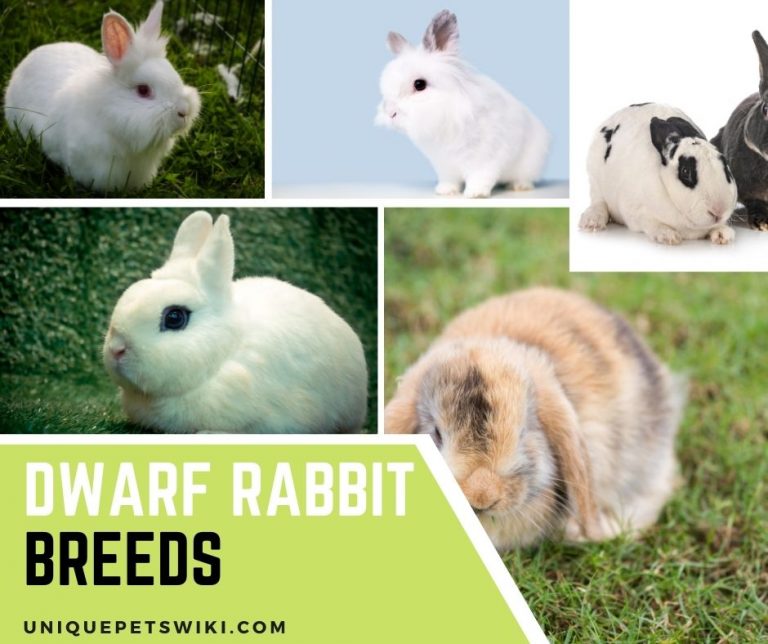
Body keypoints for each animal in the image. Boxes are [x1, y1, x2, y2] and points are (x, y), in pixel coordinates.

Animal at [375, 10, 550, 198]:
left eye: (419, 84)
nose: (390, 113)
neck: (446, 117)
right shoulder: (444, 165)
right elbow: (449, 179)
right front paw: (445, 191)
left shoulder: (485, 157)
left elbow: (481, 176)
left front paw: (475, 194)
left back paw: (519, 186)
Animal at [580, 103, 737, 245]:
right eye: (685, 172)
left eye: (725, 164)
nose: (719, 211)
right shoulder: (637, 213)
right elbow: (652, 224)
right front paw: (669, 236)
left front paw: (723, 235)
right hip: (595, 182)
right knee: (599, 202)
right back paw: (591, 223)